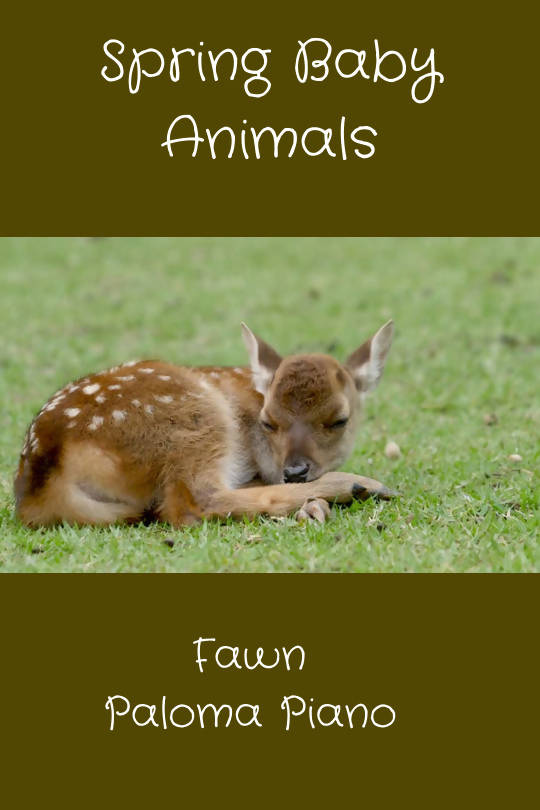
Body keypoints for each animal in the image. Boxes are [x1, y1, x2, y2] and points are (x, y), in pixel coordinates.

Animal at [14, 321, 396, 528]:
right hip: (194, 420)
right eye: (268, 422)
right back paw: (359, 486)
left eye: (339, 420)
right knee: (193, 502)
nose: (295, 470)